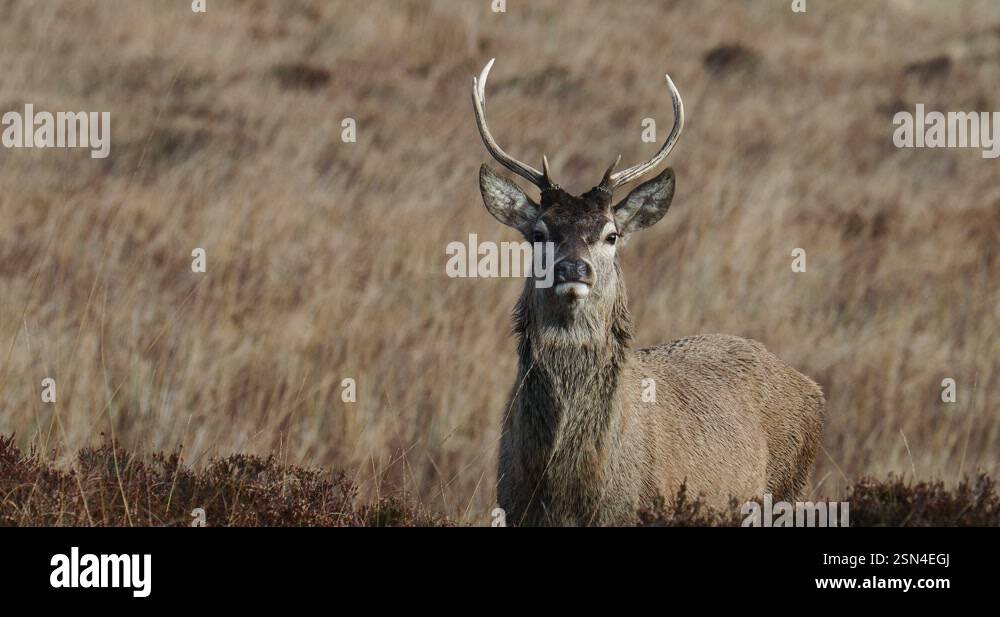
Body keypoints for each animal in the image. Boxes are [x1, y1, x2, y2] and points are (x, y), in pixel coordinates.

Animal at [472, 59, 825, 526]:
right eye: (538, 233)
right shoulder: (512, 506)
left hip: (791, 489)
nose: (573, 267)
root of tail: (812, 388)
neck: (570, 487)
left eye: (611, 235)